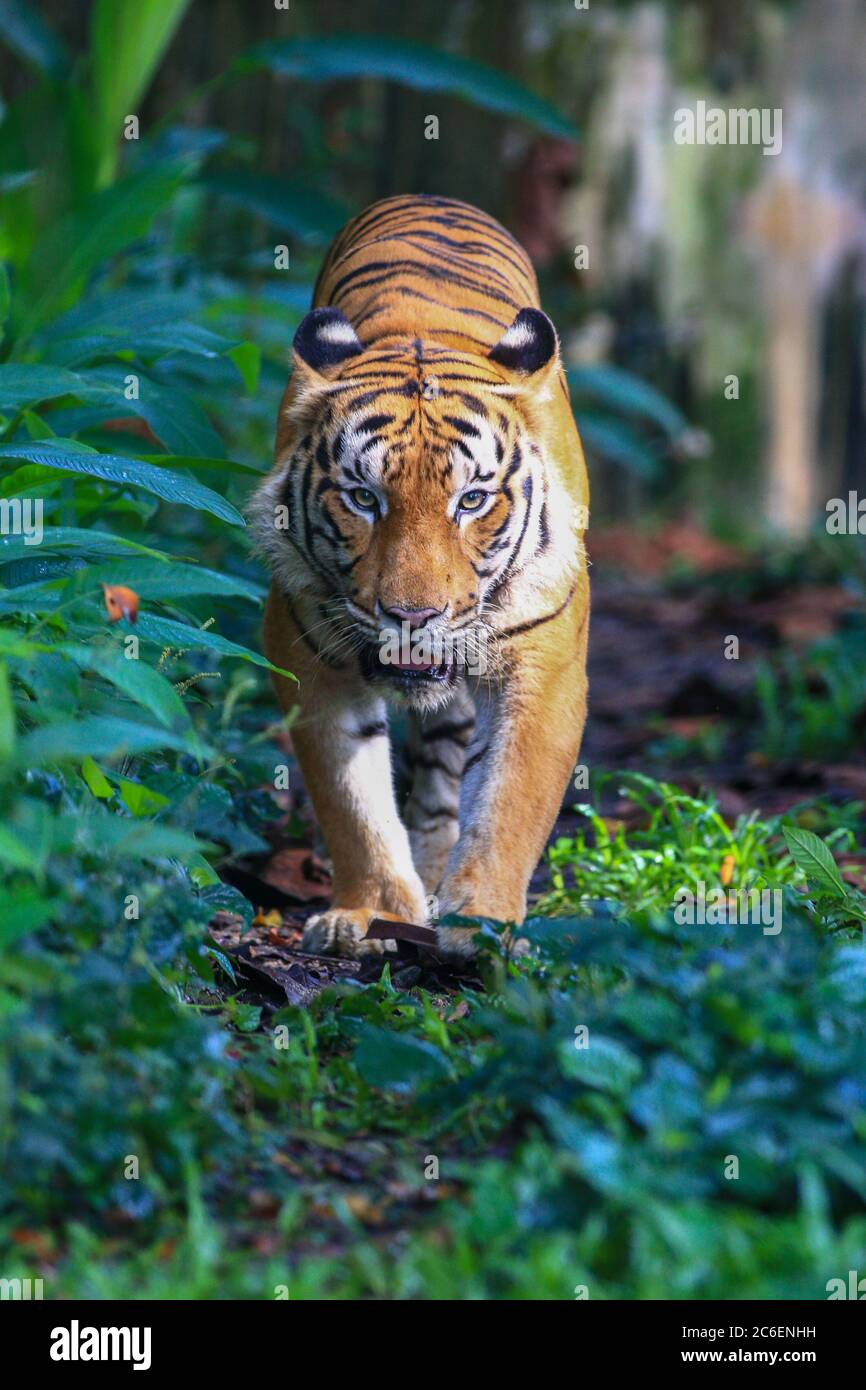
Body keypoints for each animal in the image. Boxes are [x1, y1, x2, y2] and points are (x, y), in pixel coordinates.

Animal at [252, 193, 589, 958]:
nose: (413, 617)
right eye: (363, 498)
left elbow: (510, 799)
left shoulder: (545, 664)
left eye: (472, 500)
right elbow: (352, 798)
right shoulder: (306, 650)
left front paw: (485, 921)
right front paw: (372, 915)